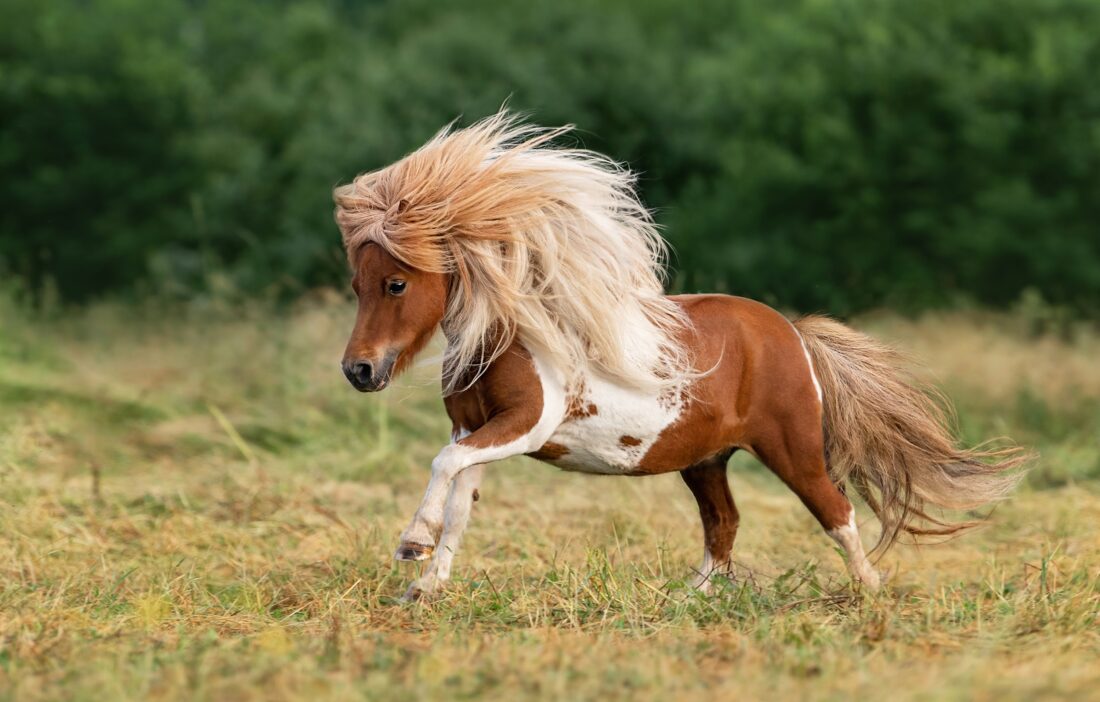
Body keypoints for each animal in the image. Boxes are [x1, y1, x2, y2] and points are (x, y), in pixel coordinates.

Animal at [333, 112, 1029, 601]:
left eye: (395, 284)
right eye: (356, 284)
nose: (359, 371)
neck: (510, 337)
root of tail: (793, 333)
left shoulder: (523, 425)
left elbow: (443, 467)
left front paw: (410, 548)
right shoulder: (475, 430)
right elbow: (458, 501)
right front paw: (425, 584)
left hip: (793, 449)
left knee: (837, 512)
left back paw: (870, 594)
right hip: (706, 460)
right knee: (724, 525)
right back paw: (684, 599)